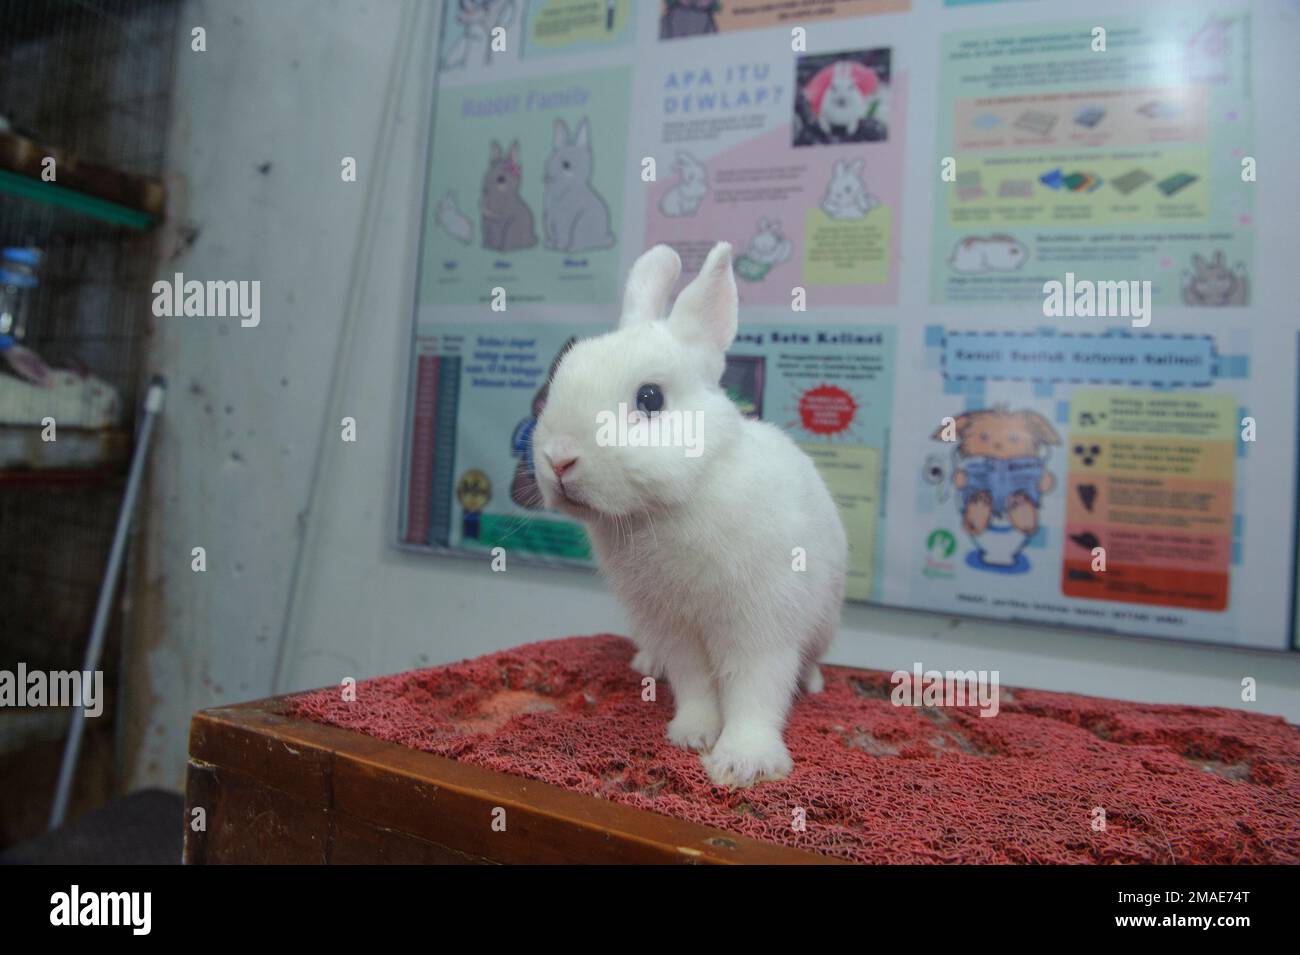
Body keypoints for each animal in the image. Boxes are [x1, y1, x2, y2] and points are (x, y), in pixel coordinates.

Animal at [532, 243, 848, 788]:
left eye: (650, 398)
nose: (559, 459)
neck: (674, 505)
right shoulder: (673, 628)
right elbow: (695, 683)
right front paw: (693, 735)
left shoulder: (760, 622)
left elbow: (755, 692)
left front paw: (744, 762)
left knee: (806, 659)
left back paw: (812, 683)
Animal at [543, 118, 616, 253]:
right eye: (552, 159)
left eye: (566, 165)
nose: (548, 176)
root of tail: (603, 239)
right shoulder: (550, 217)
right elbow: (552, 231)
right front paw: (551, 244)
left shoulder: (563, 219)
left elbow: (562, 233)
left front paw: (559, 246)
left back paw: (570, 248)